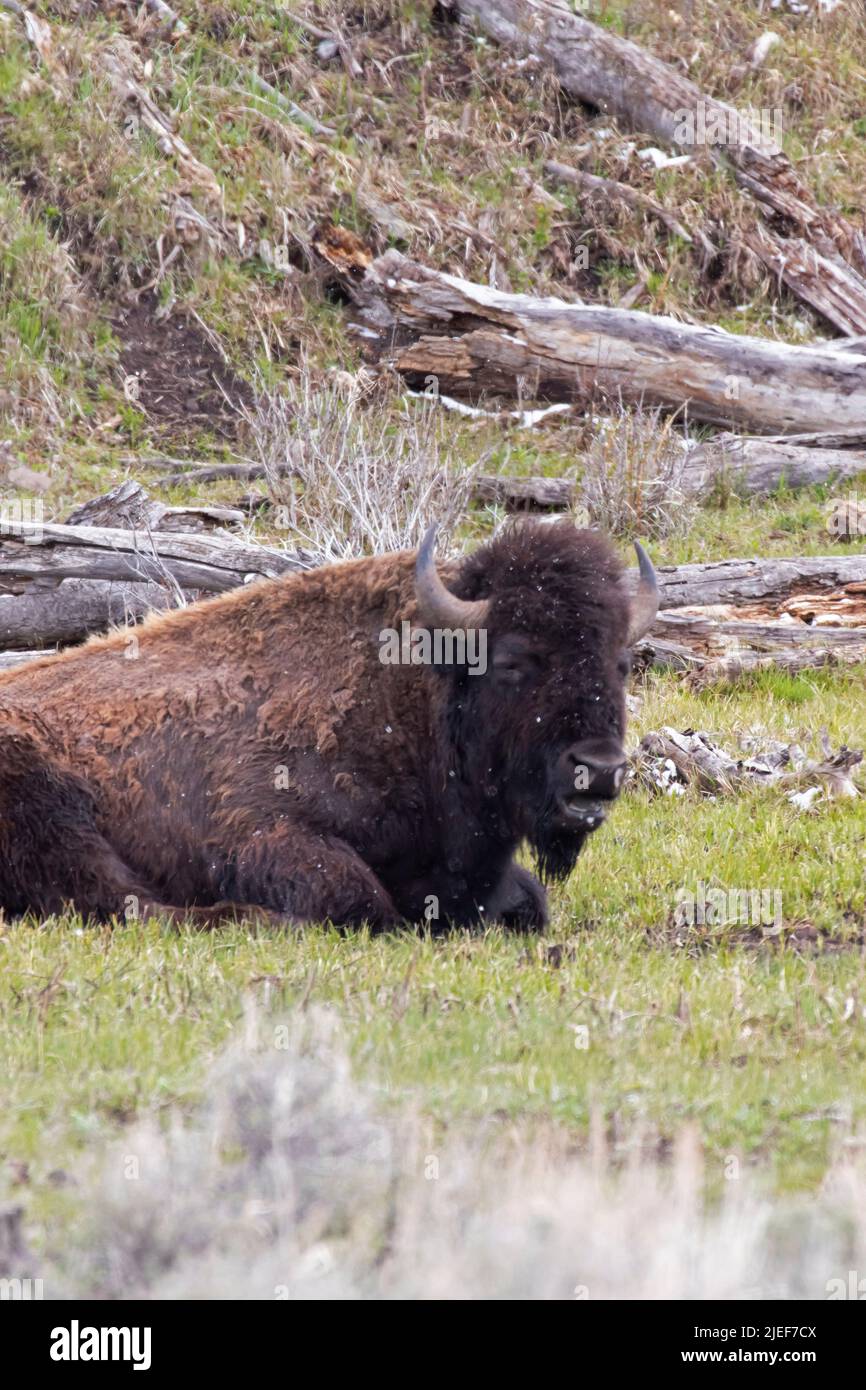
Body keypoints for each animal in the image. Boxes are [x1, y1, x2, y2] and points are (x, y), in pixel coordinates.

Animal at [0, 518, 658, 930]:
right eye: (515, 659)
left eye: (621, 662)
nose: (599, 769)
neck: (413, 696)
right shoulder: (264, 833)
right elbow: (361, 901)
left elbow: (529, 901)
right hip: (57, 816)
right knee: (126, 904)